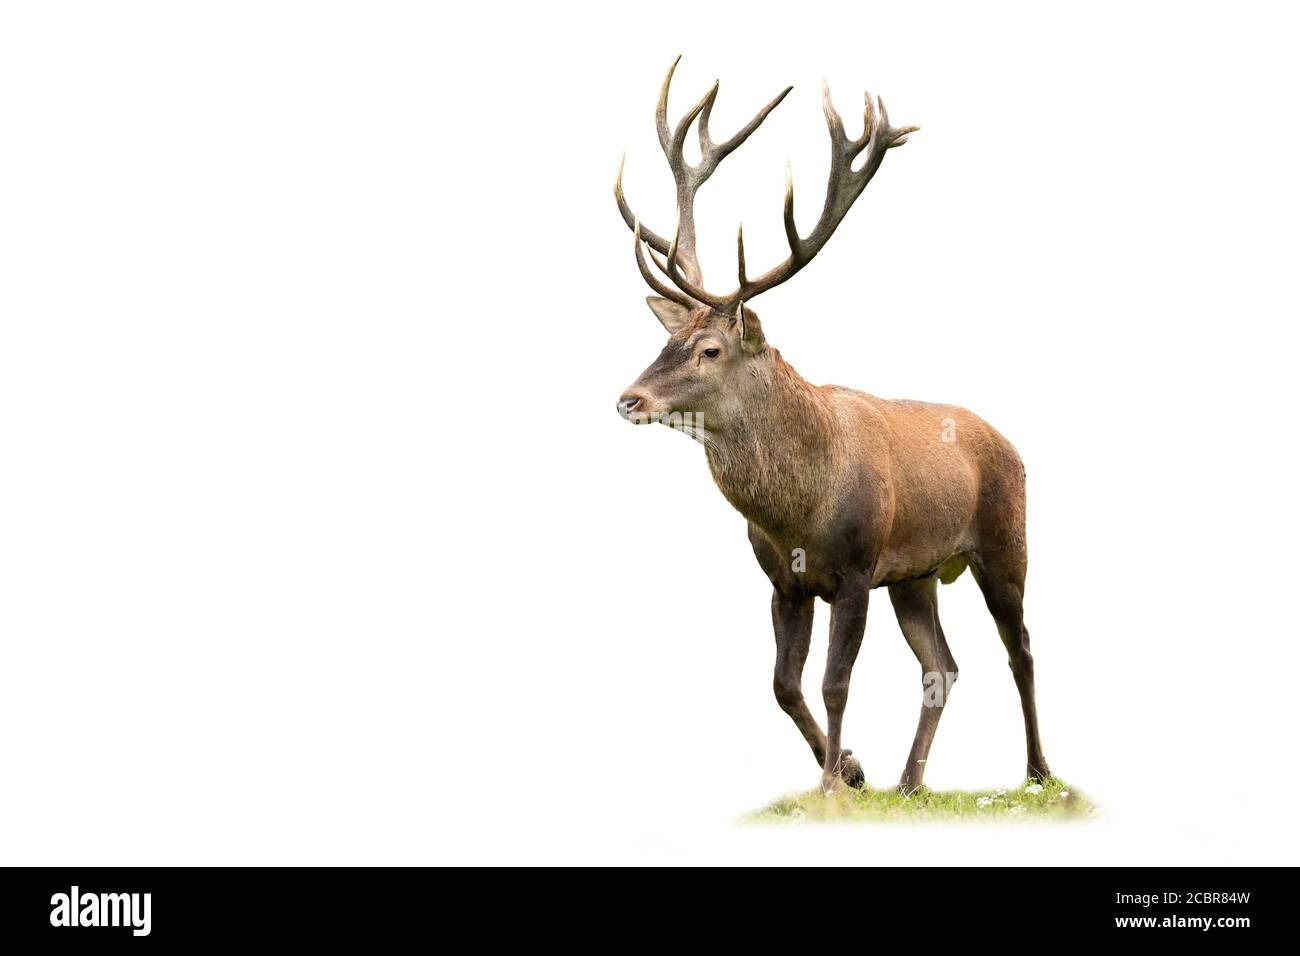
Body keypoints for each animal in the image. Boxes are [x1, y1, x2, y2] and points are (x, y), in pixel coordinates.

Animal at [614, 58, 1051, 795]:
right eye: (668, 340)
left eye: (710, 350)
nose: (629, 398)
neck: (799, 514)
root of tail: (1011, 443)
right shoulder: (784, 582)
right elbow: (783, 685)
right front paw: (849, 768)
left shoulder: (854, 568)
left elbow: (834, 682)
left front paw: (829, 783)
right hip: (916, 573)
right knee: (942, 664)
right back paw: (909, 782)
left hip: (1004, 541)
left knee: (1021, 647)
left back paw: (1039, 771)